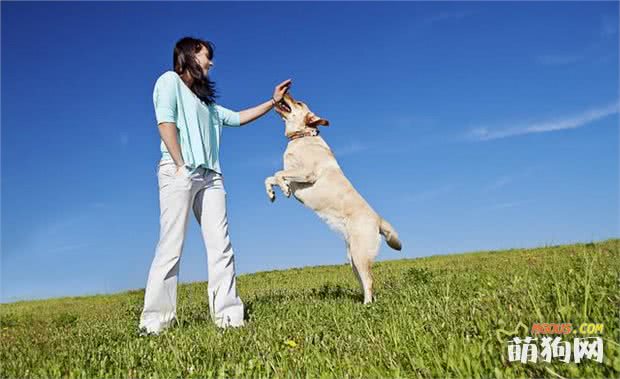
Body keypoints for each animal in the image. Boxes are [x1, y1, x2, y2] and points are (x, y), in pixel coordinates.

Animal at [266, 93, 402, 306]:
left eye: (298, 103)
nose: (285, 92)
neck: (302, 136)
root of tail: (378, 219)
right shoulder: (294, 173)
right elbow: (270, 177)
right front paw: (272, 193)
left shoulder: (307, 173)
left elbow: (278, 173)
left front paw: (284, 189)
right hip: (353, 258)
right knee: (365, 281)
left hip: (360, 254)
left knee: (369, 280)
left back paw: (367, 306)